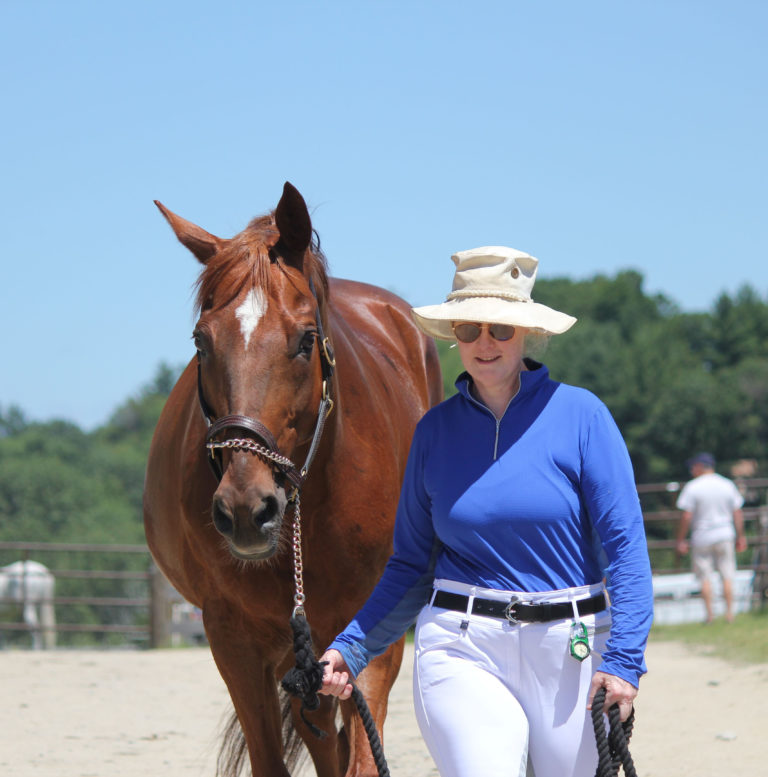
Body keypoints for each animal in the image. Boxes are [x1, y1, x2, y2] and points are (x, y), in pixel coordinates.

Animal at [143, 182, 443, 777]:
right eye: (201, 342)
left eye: (306, 340)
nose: (245, 510)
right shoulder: (233, 639)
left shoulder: (375, 632)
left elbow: (364, 758)